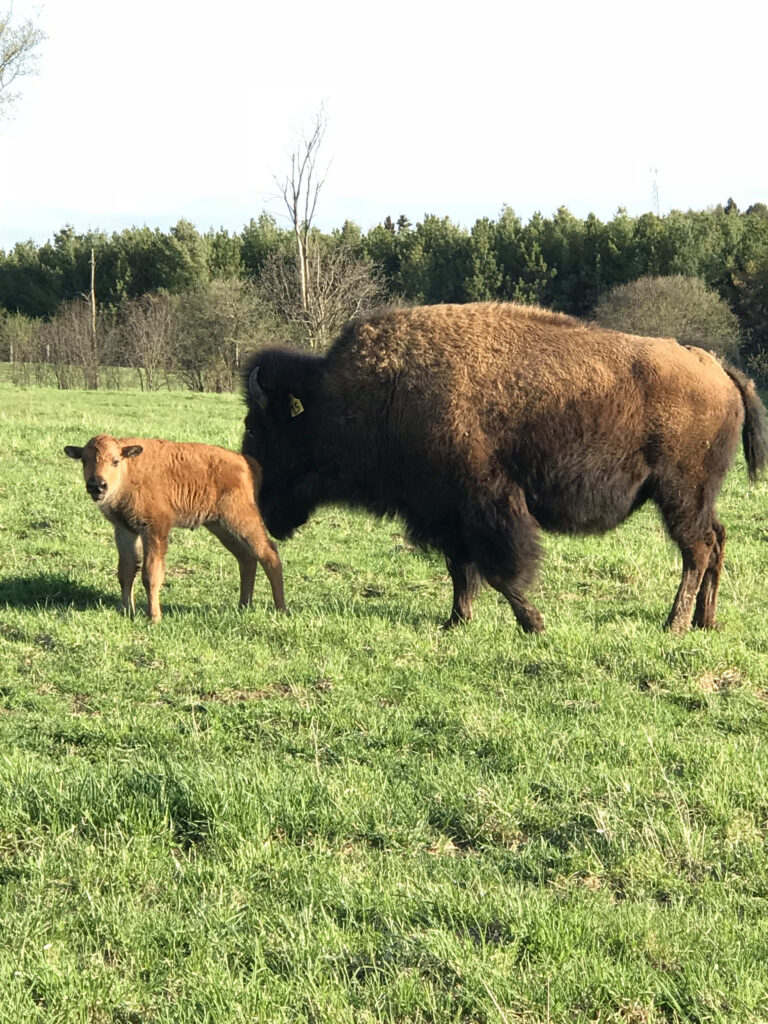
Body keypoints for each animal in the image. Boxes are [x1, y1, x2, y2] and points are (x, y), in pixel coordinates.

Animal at [241, 302, 767, 633]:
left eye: (258, 427)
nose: (260, 504)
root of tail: (718, 368)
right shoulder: (448, 514)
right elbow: (461, 570)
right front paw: (456, 621)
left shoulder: (490, 506)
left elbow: (502, 570)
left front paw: (533, 624)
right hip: (698, 496)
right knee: (717, 540)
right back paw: (704, 622)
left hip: (678, 492)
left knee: (697, 549)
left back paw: (674, 624)